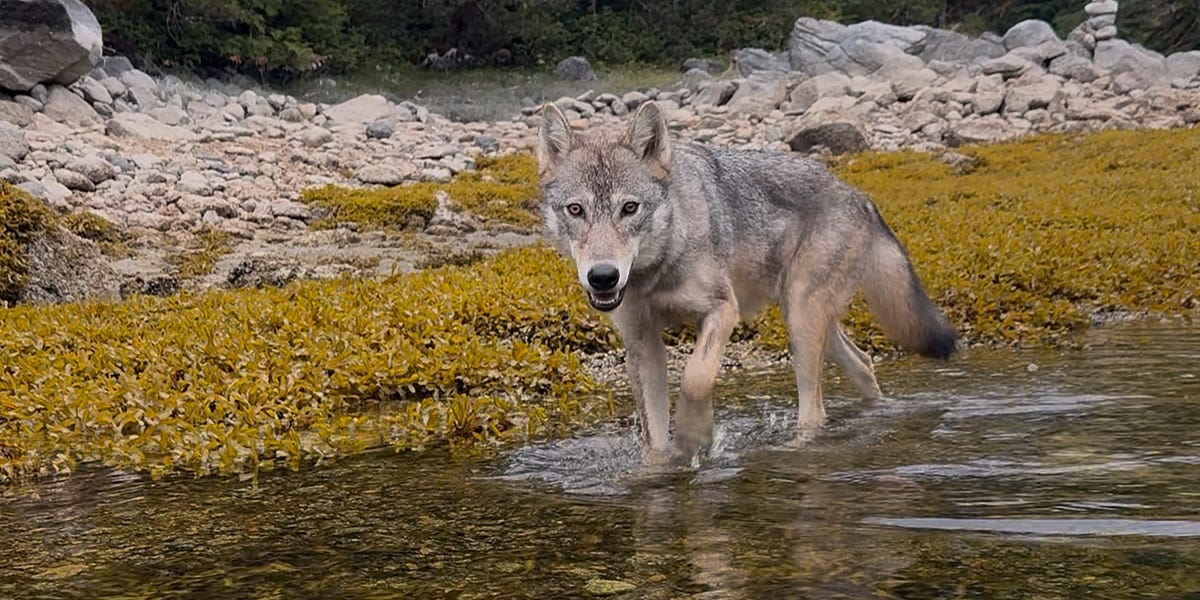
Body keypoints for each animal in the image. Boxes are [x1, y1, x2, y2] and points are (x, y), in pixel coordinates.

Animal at [535, 101, 957, 460]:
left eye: (629, 208)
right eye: (576, 210)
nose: (603, 277)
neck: (655, 272)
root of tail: (858, 194)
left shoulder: (724, 310)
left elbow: (696, 377)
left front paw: (695, 437)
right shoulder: (642, 343)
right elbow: (653, 438)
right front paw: (662, 466)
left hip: (802, 323)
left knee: (815, 410)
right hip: (809, 323)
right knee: (865, 364)